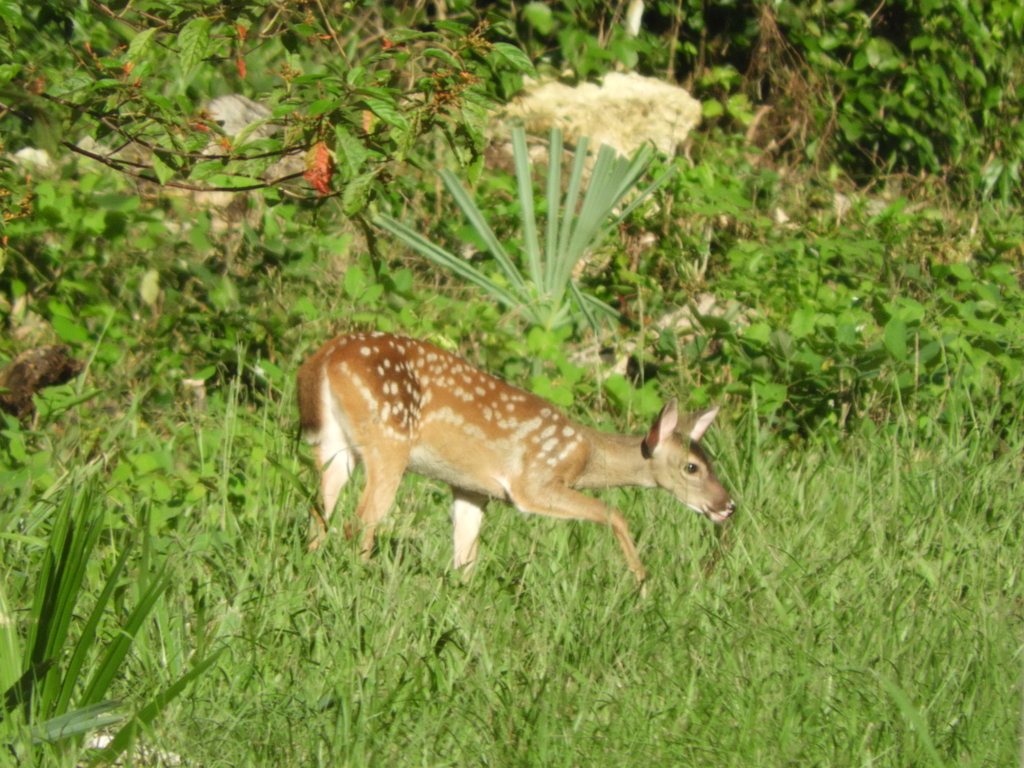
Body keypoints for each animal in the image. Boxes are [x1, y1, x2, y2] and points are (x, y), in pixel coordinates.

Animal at [296, 331, 735, 584]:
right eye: (692, 467)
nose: (727, 505)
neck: (586, 453)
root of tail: (325, 356)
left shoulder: (472, 488)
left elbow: (465, 557)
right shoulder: (533, 482)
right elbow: (613, 512)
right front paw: (642, 583)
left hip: (333, 442)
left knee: (320, 512)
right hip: (389, 439)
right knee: (361, 520)